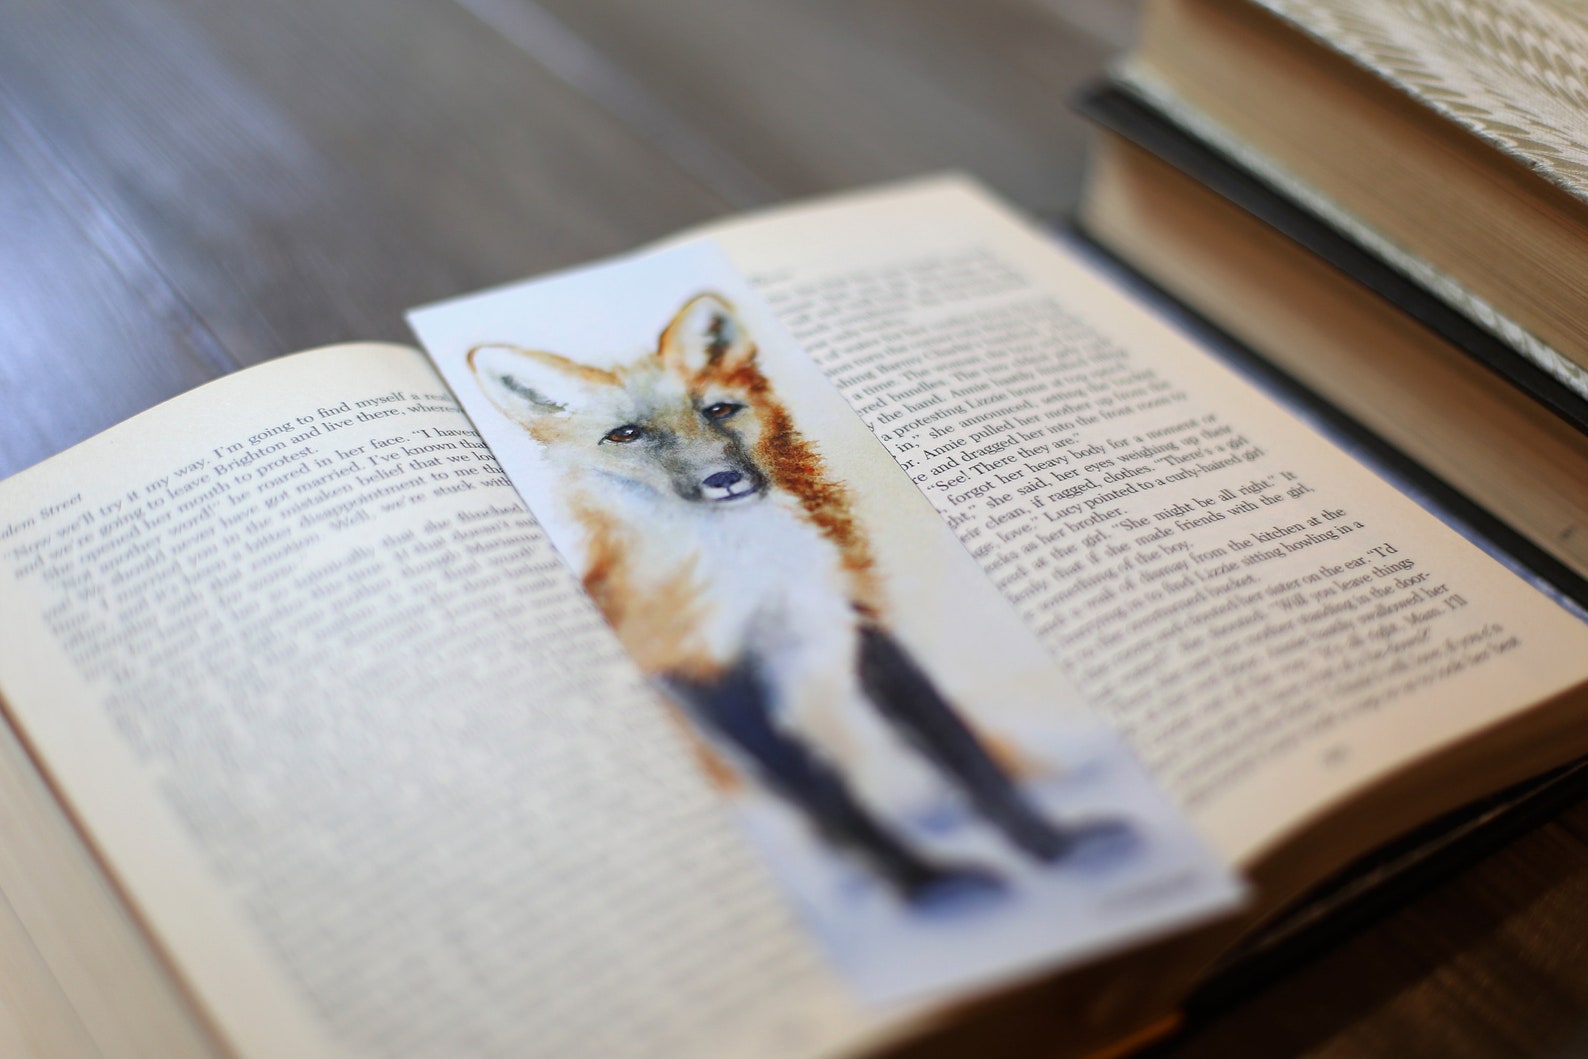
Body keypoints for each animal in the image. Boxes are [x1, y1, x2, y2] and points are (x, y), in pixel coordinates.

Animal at [469, 293, 1114, 907]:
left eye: (719, 409)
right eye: (626, 434)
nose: (723, 480)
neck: (762, 578)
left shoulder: (856, 623)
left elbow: (960, 749)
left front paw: (1050, 846)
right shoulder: (702, 674)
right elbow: (826, 795)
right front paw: (925, 886)